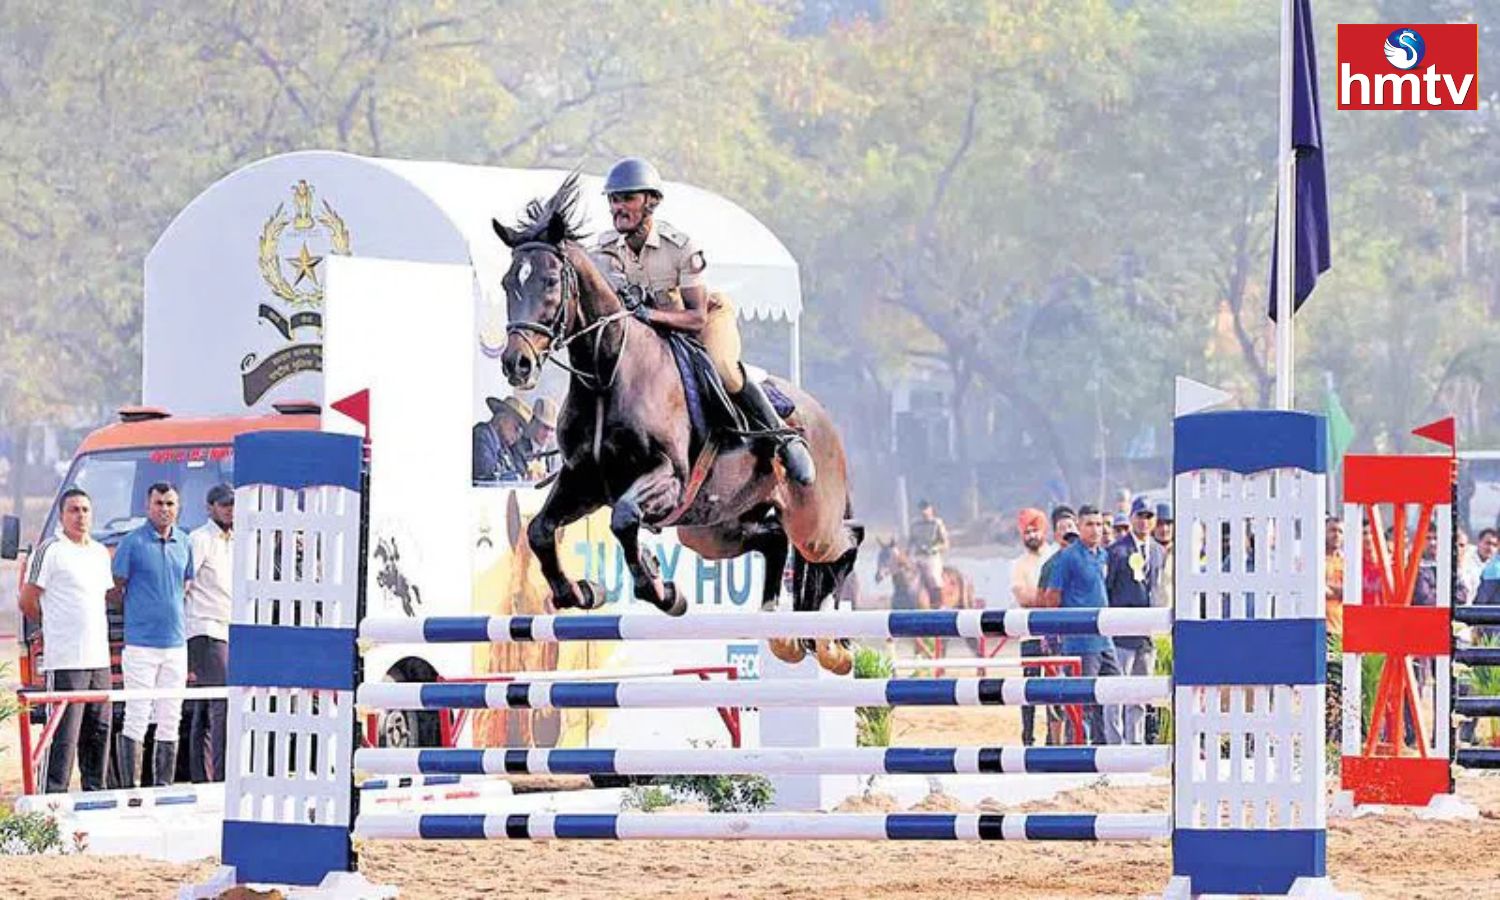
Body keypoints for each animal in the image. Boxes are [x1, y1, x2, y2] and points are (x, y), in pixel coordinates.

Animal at [492, 175, 862, 674]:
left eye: (551, 281)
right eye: (508, 282)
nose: (517, 364)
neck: (607, 374)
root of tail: (825, 420)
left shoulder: (666, 477)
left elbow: (625, 520)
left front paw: (660, 587)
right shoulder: (582, 482)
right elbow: (539, 532)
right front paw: (582, 591)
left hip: (813, 519)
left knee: (846, 541)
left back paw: (832, 644)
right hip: (712, 528)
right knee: (772, 541)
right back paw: (783, 632)